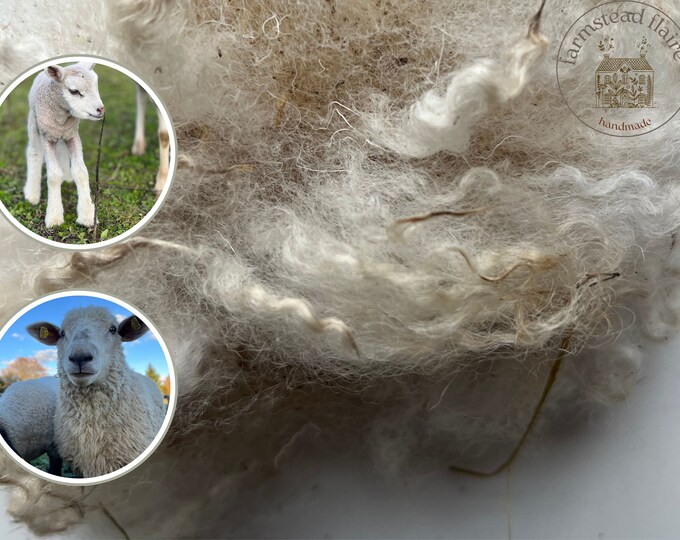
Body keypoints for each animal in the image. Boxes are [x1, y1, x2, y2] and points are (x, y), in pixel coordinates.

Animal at [23, 62, 105, 228]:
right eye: (74, 91)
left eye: (96, 86)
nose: (101, 109)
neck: (61, 116)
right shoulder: (47, 137)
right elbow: (54, 175)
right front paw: (54, 218)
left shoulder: (72, 135)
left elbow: (81, 172)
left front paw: (88, 216)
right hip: (34, 122)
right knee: (34, 152)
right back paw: (32, 194)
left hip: (63, 135)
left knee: (61, 151)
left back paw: (67, 176)